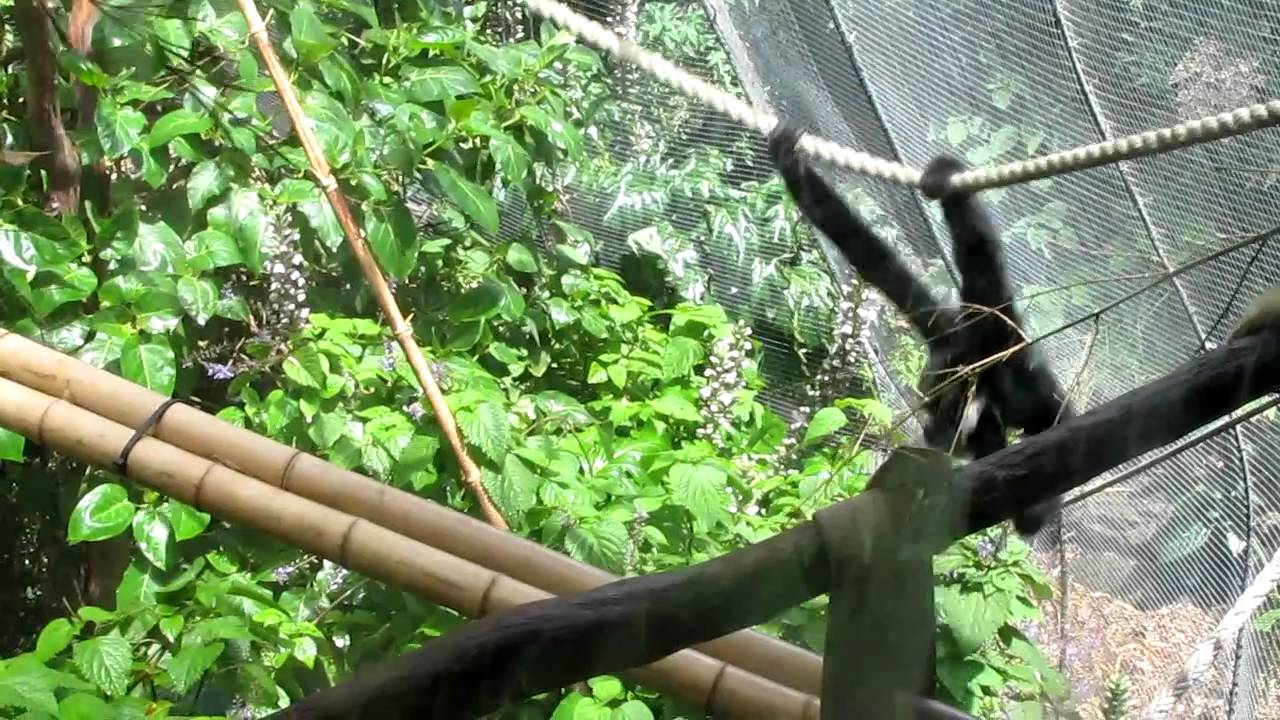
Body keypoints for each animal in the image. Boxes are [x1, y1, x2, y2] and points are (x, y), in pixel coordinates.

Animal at [767, 123, 1072, 537]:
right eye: (929, 400)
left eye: (945, 406)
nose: (933, 427)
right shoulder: (943, 327)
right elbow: (873, 257)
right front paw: (792, 164)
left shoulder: (997, 339)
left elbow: (979, 257)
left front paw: (946, 180)